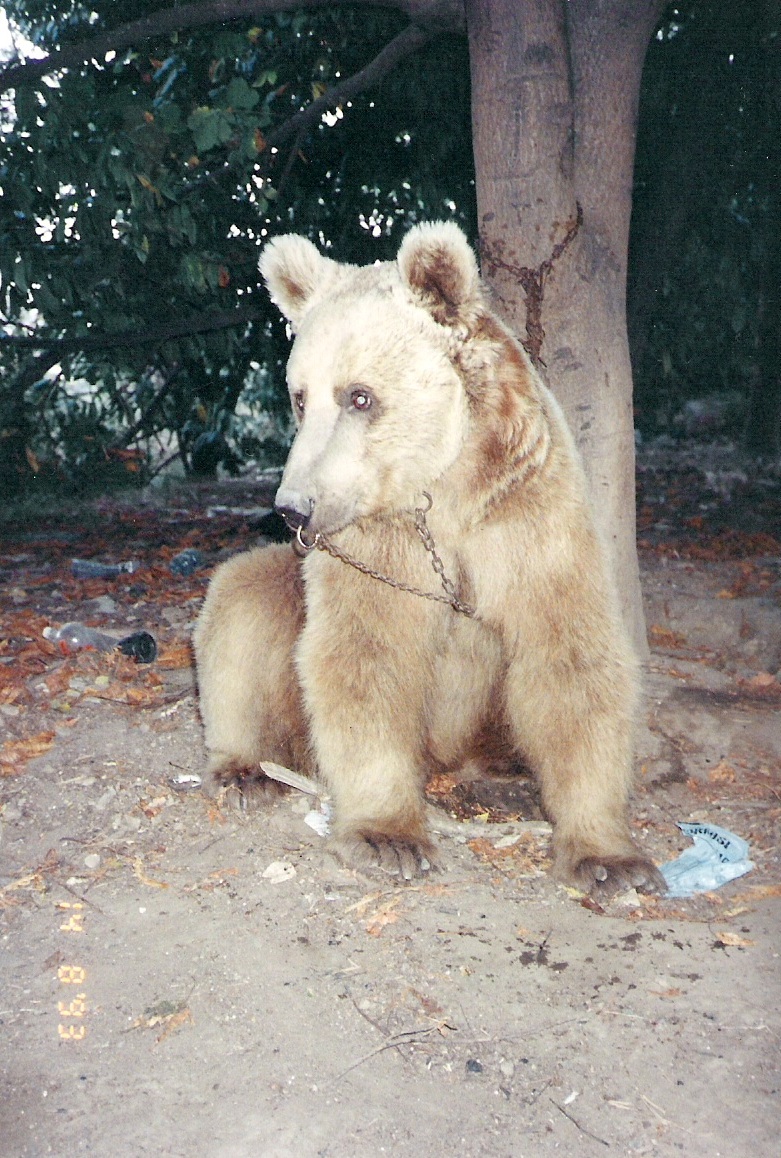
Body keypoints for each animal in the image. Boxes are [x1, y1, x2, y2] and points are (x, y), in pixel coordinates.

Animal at [193, 221, 664, 893]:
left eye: (359, 396)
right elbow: (366, 651)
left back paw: (510, 776)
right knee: (242, 599)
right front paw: (388, 837)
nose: (293, 509)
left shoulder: (527, 509)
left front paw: (610, 857)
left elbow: (567, 650)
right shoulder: (378, 540)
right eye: (300, 397)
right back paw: (243, 769)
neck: (447, 481)